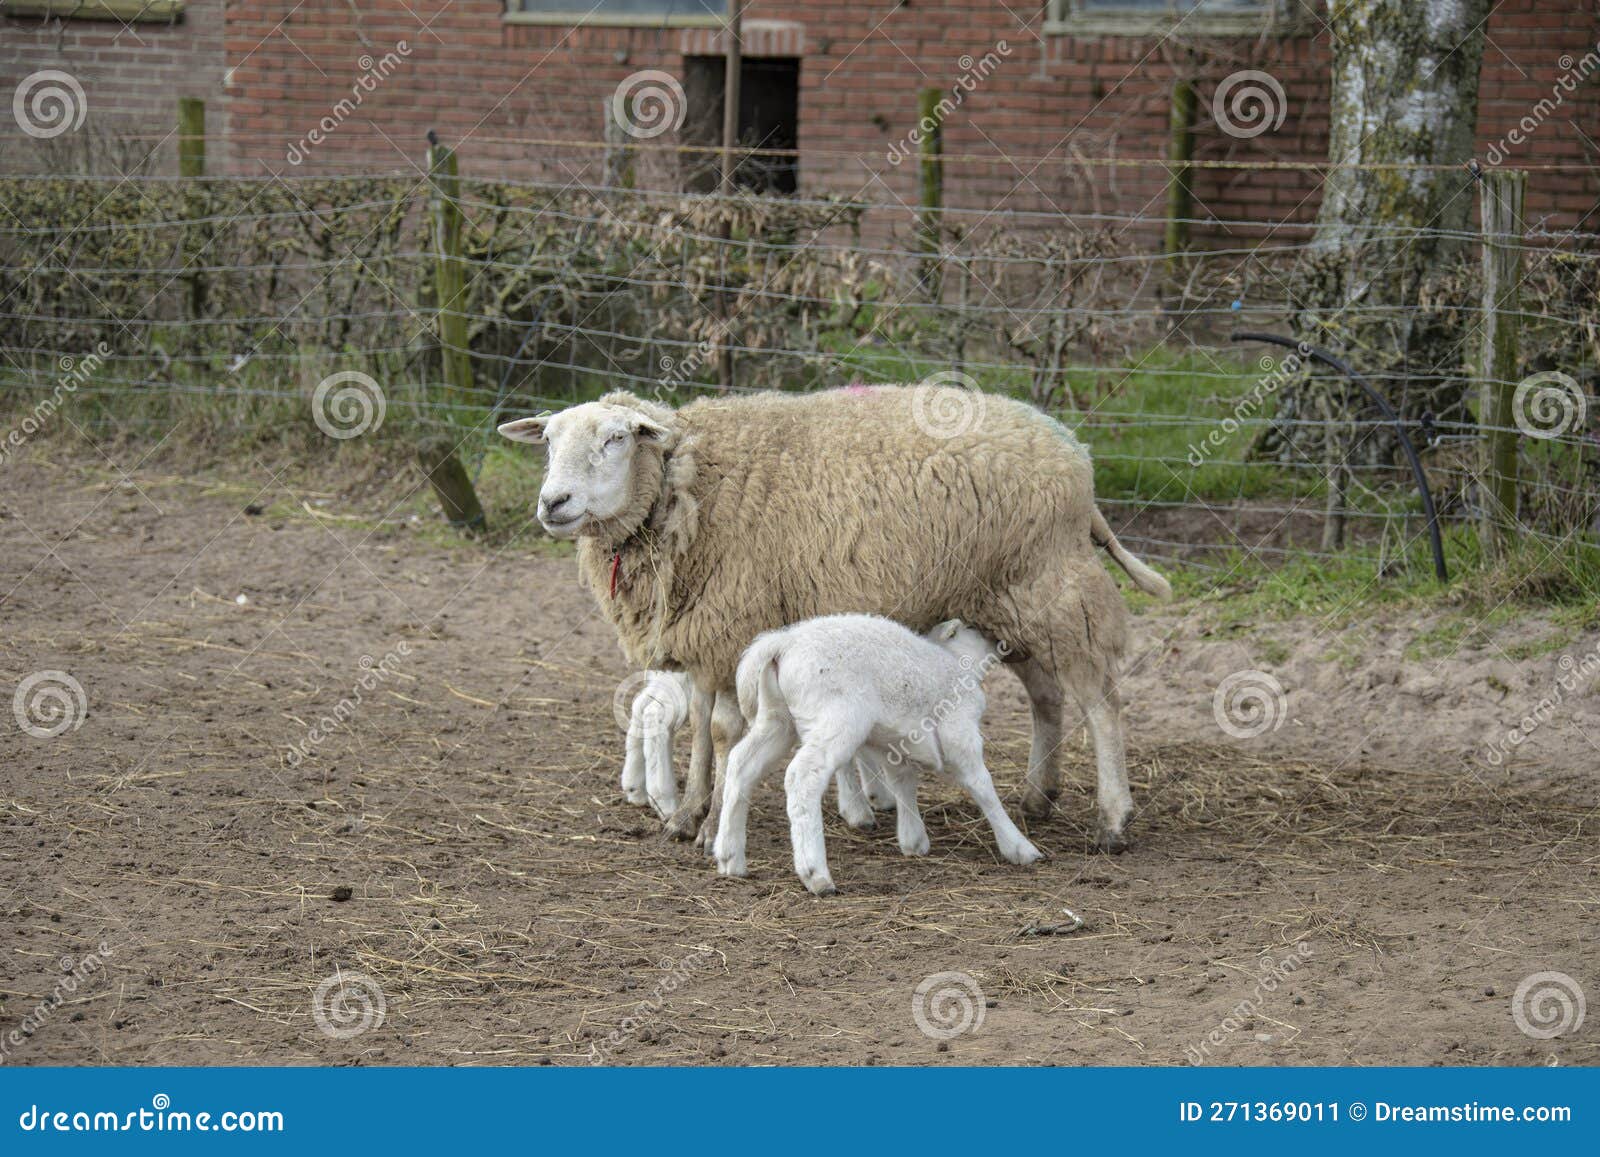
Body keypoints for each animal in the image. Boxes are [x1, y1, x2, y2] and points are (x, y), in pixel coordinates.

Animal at [499, 383, 1170, 852]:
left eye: (617, 438)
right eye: (549, 441)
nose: (553, 502)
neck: (683, 486)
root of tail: (1076, 454)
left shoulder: (738, 624)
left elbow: (722, 732)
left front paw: (711, 823)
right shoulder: (703, 631)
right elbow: (699, 733)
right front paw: (687, 813)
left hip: (1052, 586)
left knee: (1100, 700)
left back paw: (1113, 820)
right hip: (1006, 599)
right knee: (1047, 695)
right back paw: (1037, 796)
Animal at [713, 614, 1042, 895]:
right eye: (976, 628)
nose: (1005, 642)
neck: (956, 662)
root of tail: (782, 643)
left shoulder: (895, 745)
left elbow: (903, 783)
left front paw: (914, 841)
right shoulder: (960, 734)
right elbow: (982, 786)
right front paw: (1019, 847)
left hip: (777, 718)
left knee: (741, 764)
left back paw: (730, 857)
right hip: (836, 718)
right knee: (802, 776)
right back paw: (815, 875)